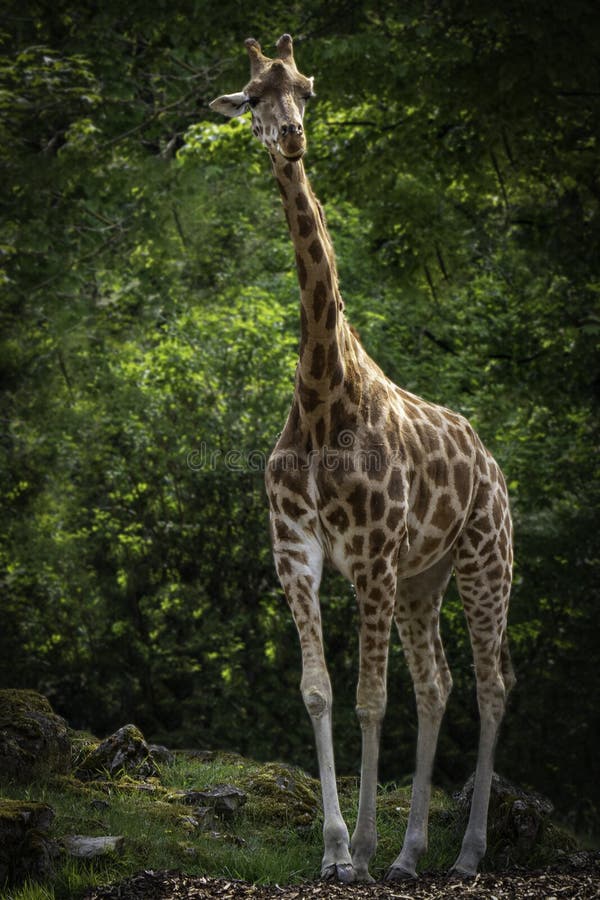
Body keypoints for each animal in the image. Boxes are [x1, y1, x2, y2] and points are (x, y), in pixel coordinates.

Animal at [210, 34, 515, 883]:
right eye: (253, 97)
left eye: (308, 89)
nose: (291, 138)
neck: (322, 397)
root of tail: (494, 466)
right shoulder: (297, 552)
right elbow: (319, 693)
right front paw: (339, 850)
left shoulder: (372, 556)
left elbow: (369, 699)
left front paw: (365, 848)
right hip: (424, 577)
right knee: (439, 683)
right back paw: (414, 855)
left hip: (484, 560)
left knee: (492, 684)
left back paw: (465, 854)